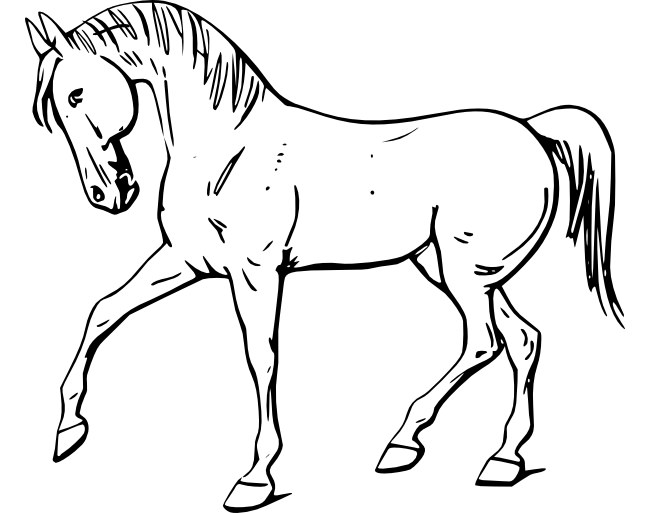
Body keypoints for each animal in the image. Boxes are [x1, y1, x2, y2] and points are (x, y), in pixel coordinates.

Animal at [26, 2, 623, 511]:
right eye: (52, 110)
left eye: (75, 95)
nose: (108, 193)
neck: (226, 149)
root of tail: (534, 132)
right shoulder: (187, 262)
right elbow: (103, 311)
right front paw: (67, 431)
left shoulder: (256, 274)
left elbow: (262, 358)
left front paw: (254, 480)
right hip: (456, 270)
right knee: (522, 340)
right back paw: (500, 459)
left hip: (464, 271)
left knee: (485, 341)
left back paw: (407, 442)